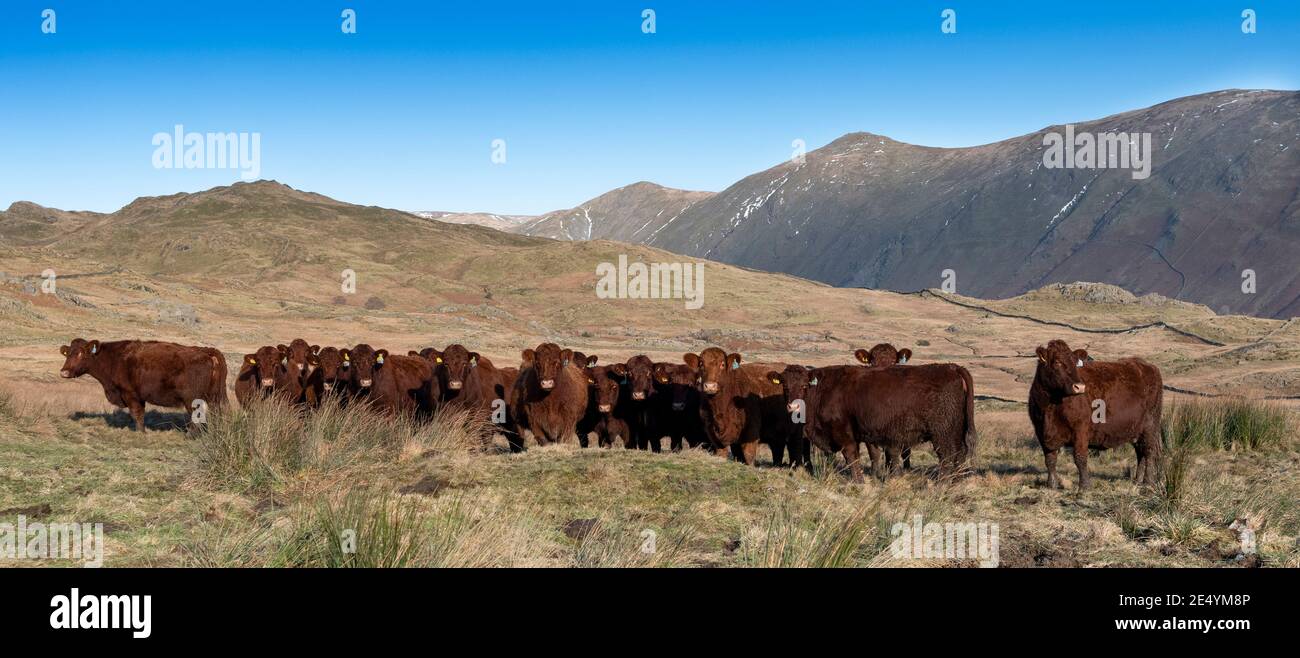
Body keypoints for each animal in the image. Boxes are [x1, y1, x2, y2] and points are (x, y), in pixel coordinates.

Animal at [58, 338, 227, 431]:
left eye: (81, 354)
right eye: (68, 353)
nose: (64, 372)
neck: (113, 358)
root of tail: (207, 351)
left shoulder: (130, 394)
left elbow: (137, 414)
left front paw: (141, 432)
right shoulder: (139, 397)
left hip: (192, 400)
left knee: (196, 417)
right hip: (214, 398)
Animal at [768, 362, 976, 482]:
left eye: (804, 386)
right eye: (785, 386)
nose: (793, 407)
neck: (823, 389)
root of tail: (952, 367)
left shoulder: (844, 433)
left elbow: (852, 456)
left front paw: (858, 481)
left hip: (942, 432)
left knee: (947, 456)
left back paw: (942, 484)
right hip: (956, 430)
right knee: (960, 454)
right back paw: (957, 480)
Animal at [1028, 339, 1163, 490]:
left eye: (1075, 362)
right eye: (1057, 362)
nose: (1079, 387)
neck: (1049, 409)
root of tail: (1147, 365)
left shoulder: (1080, 430)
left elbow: (1080, 458)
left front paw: (1084, 486)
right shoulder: (1042, 433)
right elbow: (1050, 460)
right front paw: (1051, 484)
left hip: (1150, 426)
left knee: (1149, 451)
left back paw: (1148, 481)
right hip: (1136, 430)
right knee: (1140, 453)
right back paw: (1137, 480)